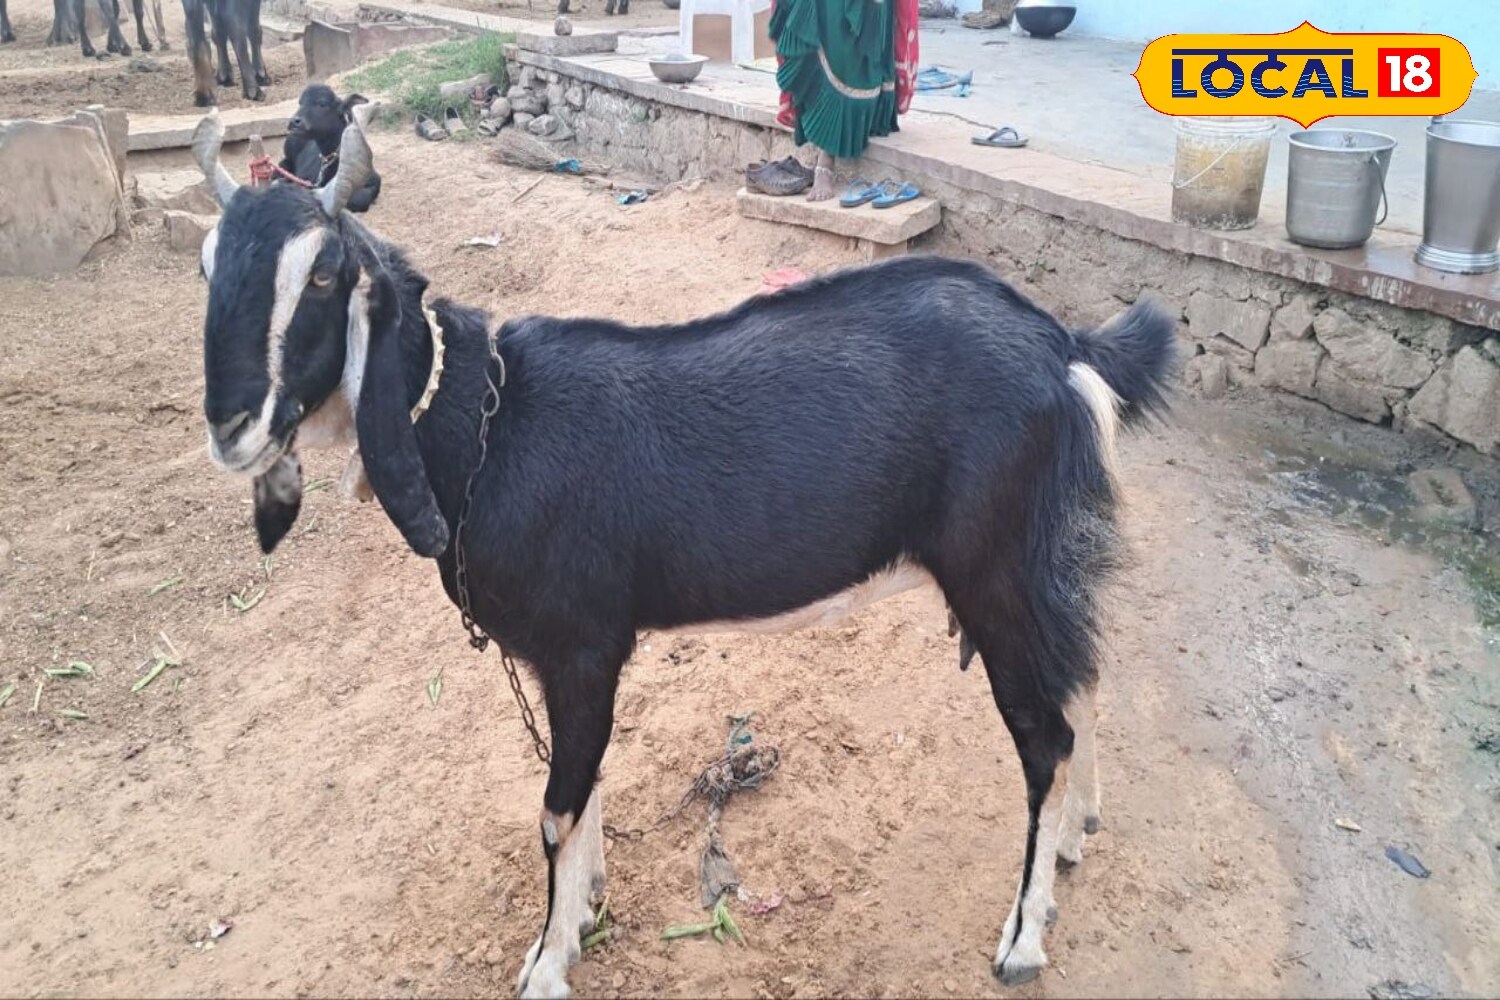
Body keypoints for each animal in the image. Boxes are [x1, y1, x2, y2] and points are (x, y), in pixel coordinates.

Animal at [191, 110, 1173, 998]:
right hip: (1045, 557)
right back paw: (1076, 838)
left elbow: (555, 807)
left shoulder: (584, 643)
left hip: (996, 568)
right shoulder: (567, 660)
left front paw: (547, 961)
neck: (487, 423)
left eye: (324, 272)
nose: (230, 426)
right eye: (205, 265)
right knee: (1083, 681)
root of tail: (1065, 349)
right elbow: (580, 783)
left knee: (1045, 737)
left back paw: (1022, 941)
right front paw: (583, 910)